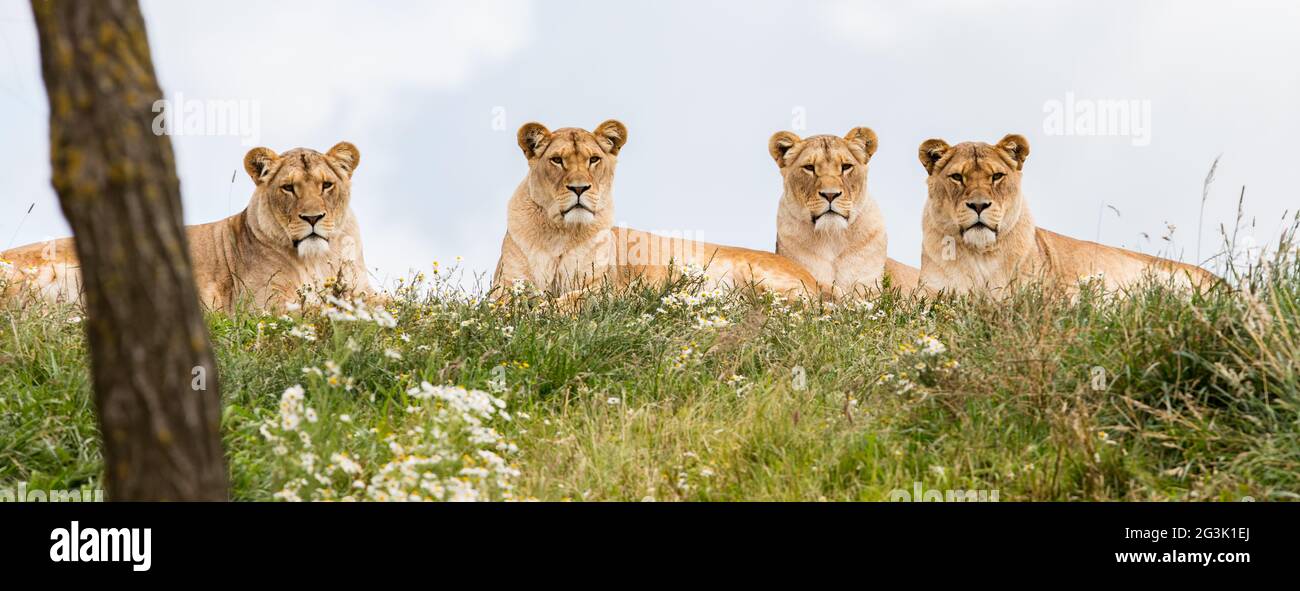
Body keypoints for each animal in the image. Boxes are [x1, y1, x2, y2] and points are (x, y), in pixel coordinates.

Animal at [492, 120, 817, 300]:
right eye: (557, 160)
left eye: (594, 159)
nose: (579, 188)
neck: (560, 232)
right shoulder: (504, 288)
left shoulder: (604, 288)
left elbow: (565, 303)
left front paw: (542, 310)